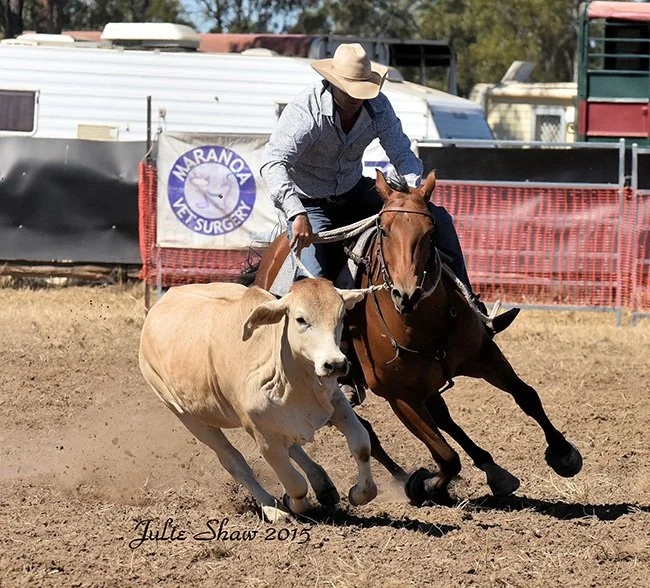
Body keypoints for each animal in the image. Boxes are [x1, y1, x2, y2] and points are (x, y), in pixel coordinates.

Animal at [253, 169, 583, 504]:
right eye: (384, 231)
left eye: (430, 231)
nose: (406, 294)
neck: (420, 324)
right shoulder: (400, 396)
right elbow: (446, 456)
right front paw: (423, 485)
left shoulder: (483, 355)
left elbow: (526, 395)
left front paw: (563, 453)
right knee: (378, 431)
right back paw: (399, 478)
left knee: (442, 417)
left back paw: (491, 469)